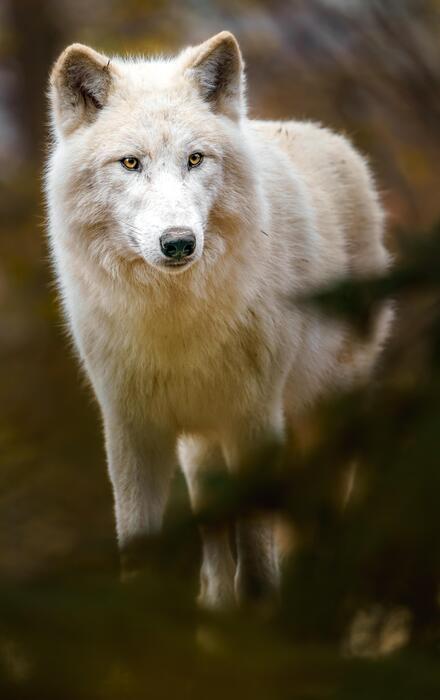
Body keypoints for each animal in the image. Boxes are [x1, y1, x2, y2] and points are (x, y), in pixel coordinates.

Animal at [46, 31, 392, 608]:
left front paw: (263, 613)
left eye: (195, 158)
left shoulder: (253, 420)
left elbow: (256, 555)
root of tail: (330, 138)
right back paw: (215, 606)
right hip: (201, 445)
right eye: (130, 163)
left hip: (328, 408)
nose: (178, 242)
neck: (175, 319)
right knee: (213, 542)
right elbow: (140, 548)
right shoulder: (132, 429)